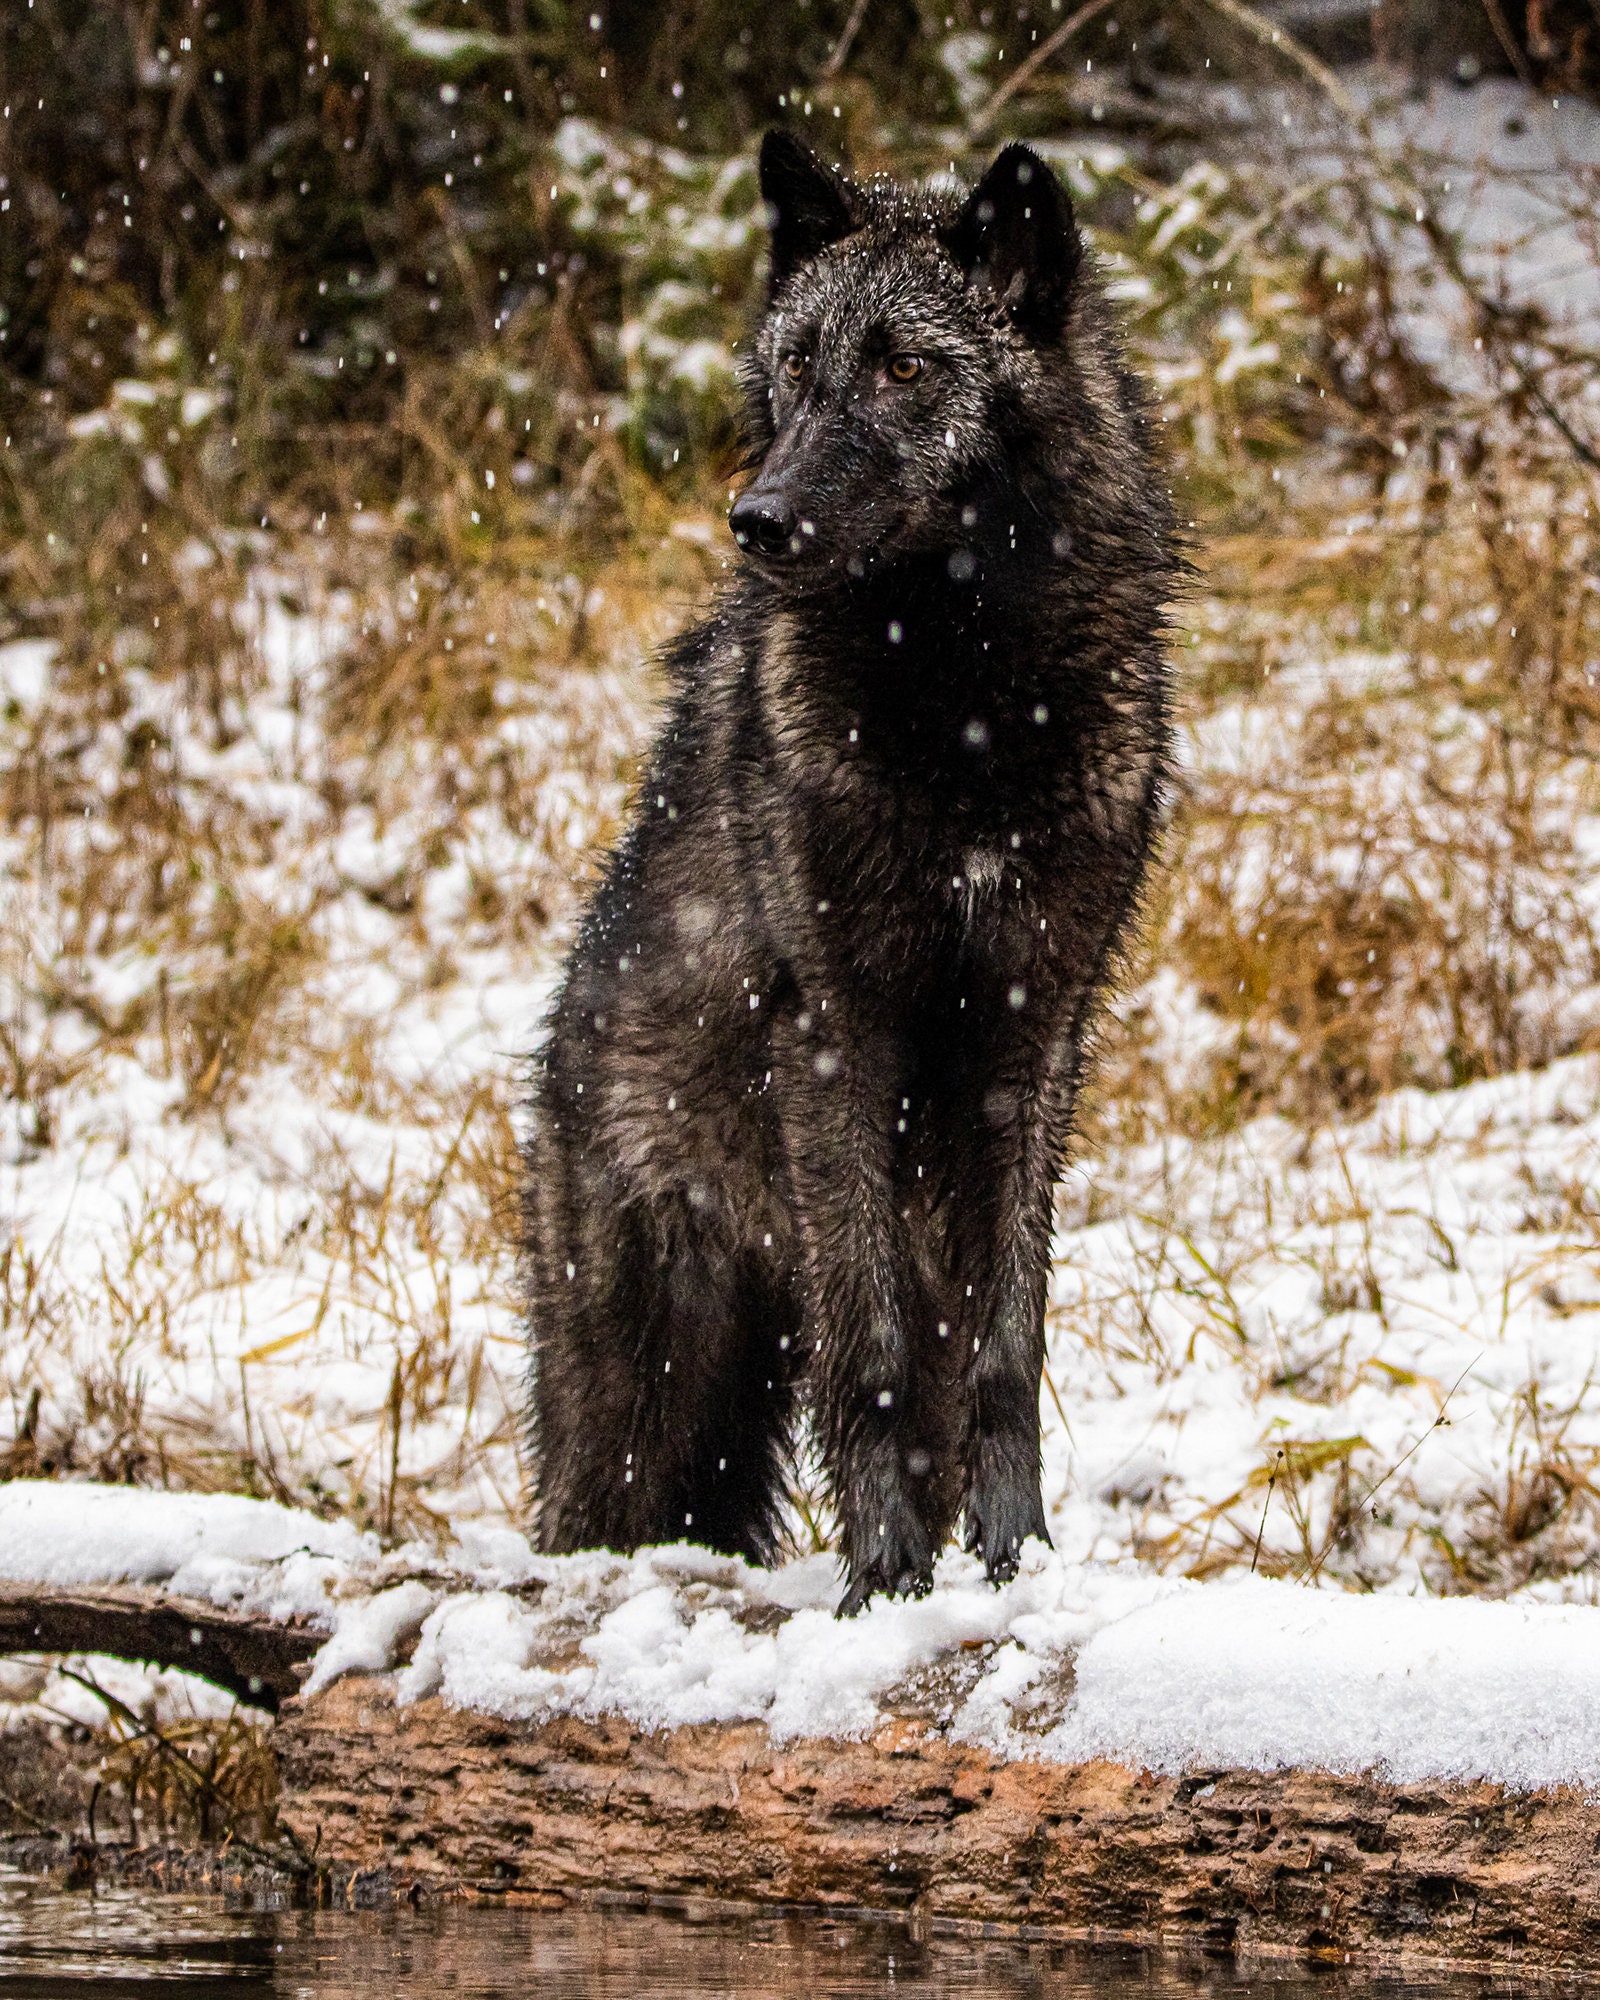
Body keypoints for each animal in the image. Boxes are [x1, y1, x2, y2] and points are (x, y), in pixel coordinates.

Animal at [525, 130, 1178, 1613]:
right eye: (795, 367)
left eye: (905, 368)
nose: (755, 517)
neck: (965, 694)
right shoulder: (836, 1033)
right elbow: (861, 1358)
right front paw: (883, 1584)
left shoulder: (1034, 1041)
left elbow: (1010, 1350)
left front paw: (1011, 1565)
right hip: (646, 1374)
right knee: (603, 1501)